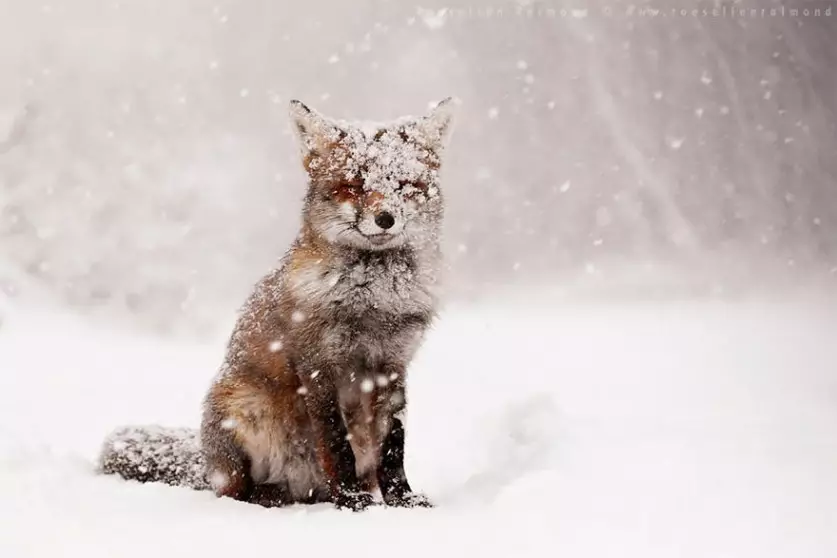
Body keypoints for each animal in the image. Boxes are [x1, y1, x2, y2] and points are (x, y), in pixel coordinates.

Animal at [98, 97, 458, 512]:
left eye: (405, 185)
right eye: (353, 186)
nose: (386, 218)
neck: (372, 302)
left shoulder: (393, 366)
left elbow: (393, 445)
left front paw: (403, 499)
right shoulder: (318, 366)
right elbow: (335, 443)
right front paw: (351, 500)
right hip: (242, 412)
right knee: (236, 491)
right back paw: (272, 497)